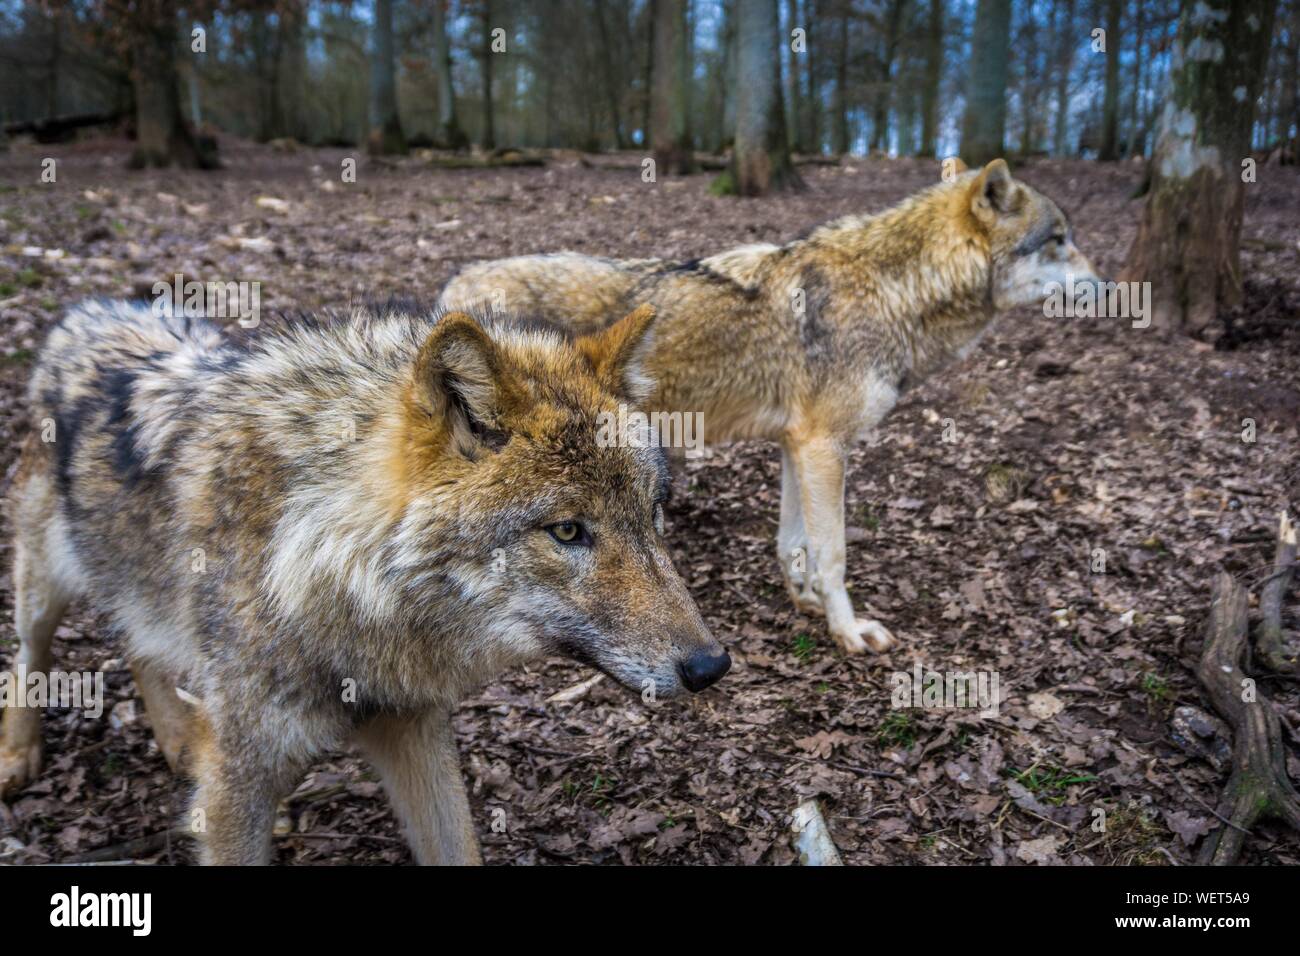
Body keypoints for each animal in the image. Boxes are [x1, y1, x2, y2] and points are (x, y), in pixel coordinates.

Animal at [0, 299, 730, 864]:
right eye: (569, 531)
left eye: (654, 512)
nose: (711, 665)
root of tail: (90, 311)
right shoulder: (240, 777)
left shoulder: (410, 725)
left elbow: (457, 845)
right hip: (43, 583)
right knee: (31, 651)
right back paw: (17, 755)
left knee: (135, 640)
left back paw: (179, 742)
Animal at [440, 159, 1103, 655]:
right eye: (1059, 241)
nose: (1109, 287)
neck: (895, 290)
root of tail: (454, 290)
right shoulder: (824, 446)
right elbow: (834, 551)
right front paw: (848, 631)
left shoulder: (798, 445)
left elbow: (795, 541)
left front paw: (804, 601)